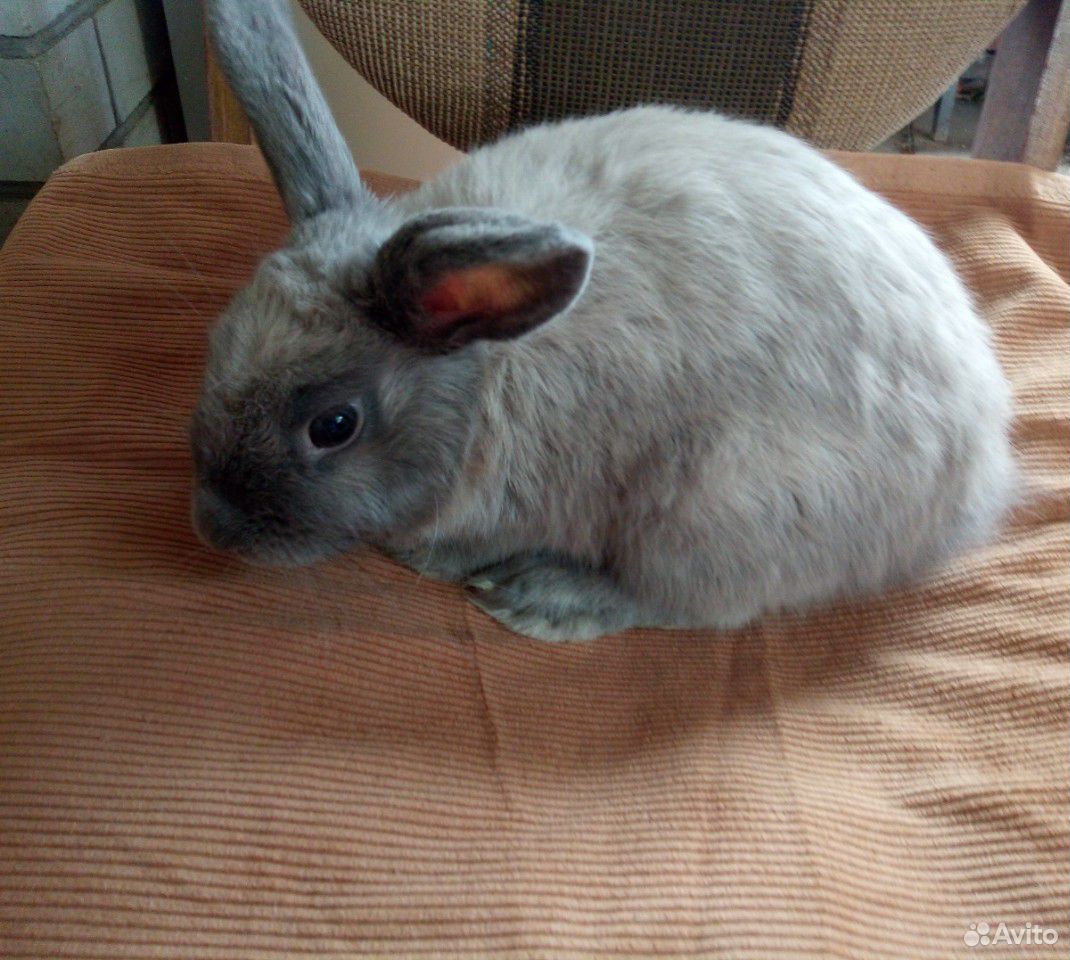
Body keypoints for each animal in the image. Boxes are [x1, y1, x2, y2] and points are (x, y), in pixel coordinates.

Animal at [190, 0, 1016, 642]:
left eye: (334, 426)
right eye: (215, 340)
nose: (213, 526)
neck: (486, 373)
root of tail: (975, 482)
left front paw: (441, 561)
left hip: (711, 509)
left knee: (691, 605)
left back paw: (546, 596)